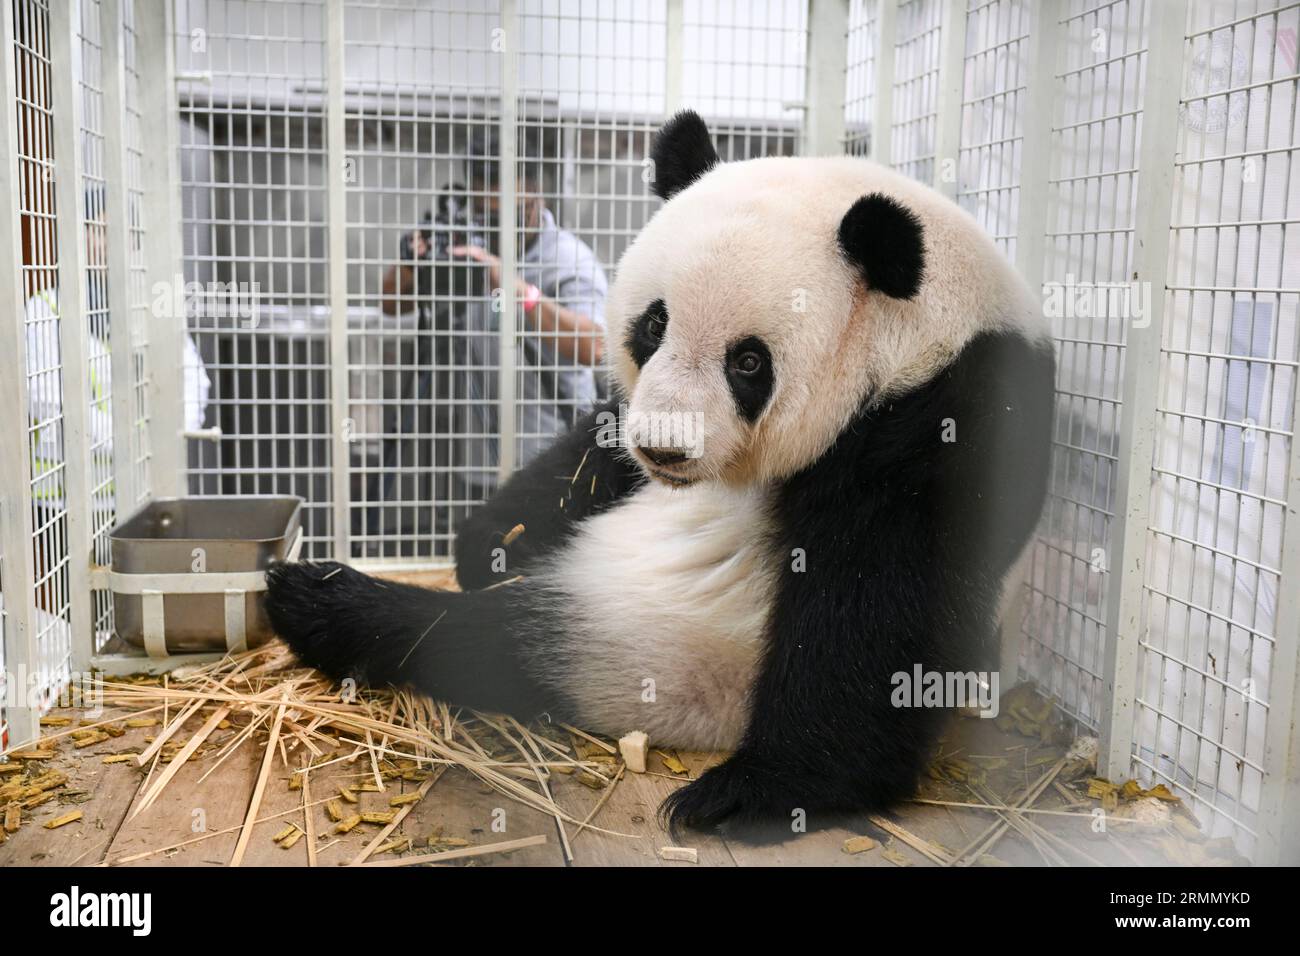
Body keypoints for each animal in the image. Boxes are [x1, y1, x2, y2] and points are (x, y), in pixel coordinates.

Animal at [264, 110, 1056, 838]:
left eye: (748, 361)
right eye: (654, 325)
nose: (664, 451)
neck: (914, 333)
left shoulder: (945, 422)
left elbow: (876, 615)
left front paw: (762, 788)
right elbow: (587, 457)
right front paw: (490, 539)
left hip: (662, 650)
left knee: (485, 643)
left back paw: (329, 603)